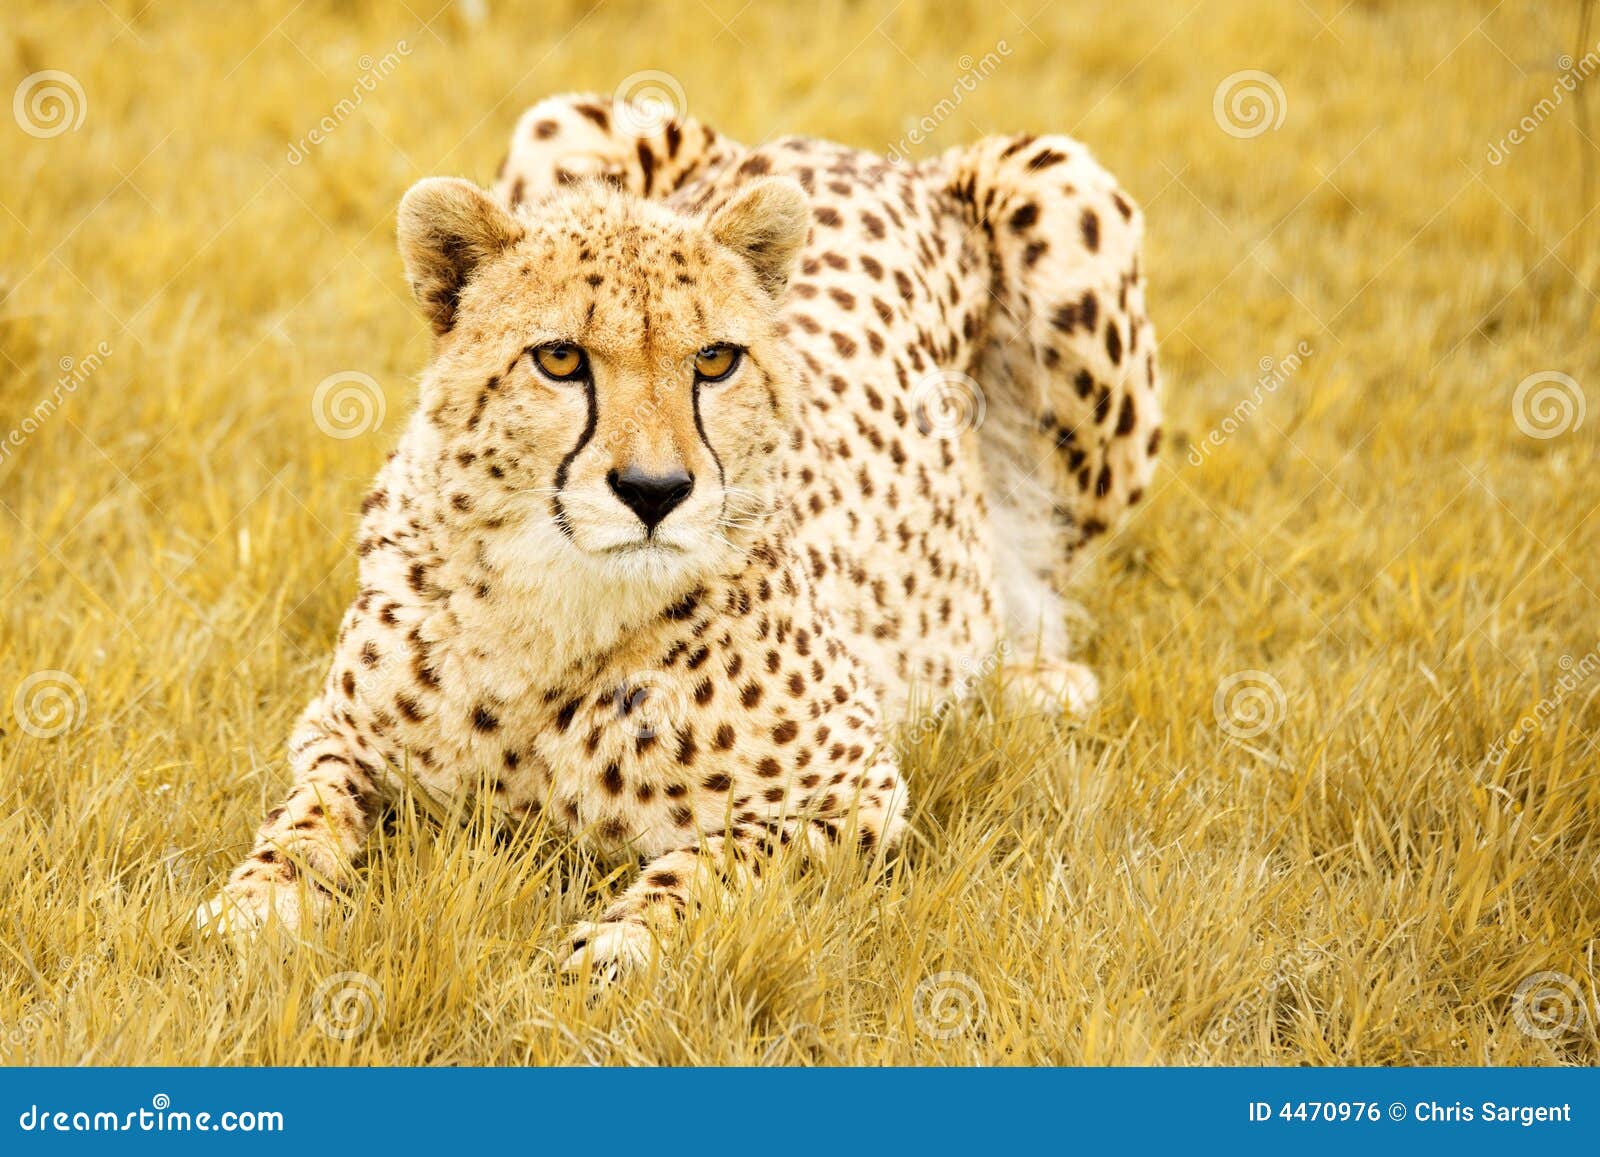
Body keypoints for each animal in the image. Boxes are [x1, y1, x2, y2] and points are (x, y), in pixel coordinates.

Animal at [196, 92, 1163, 972]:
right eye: (559, 358)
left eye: (715, 360)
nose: (654, 491)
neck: (556, 607)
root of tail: (872, 156)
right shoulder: (335, 735)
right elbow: (305, 815)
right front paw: (258, 899)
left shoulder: (857, 792)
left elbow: (719, 861)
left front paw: (622, 941)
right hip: (561, 118)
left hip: (1063, 200)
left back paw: (1036, 683)